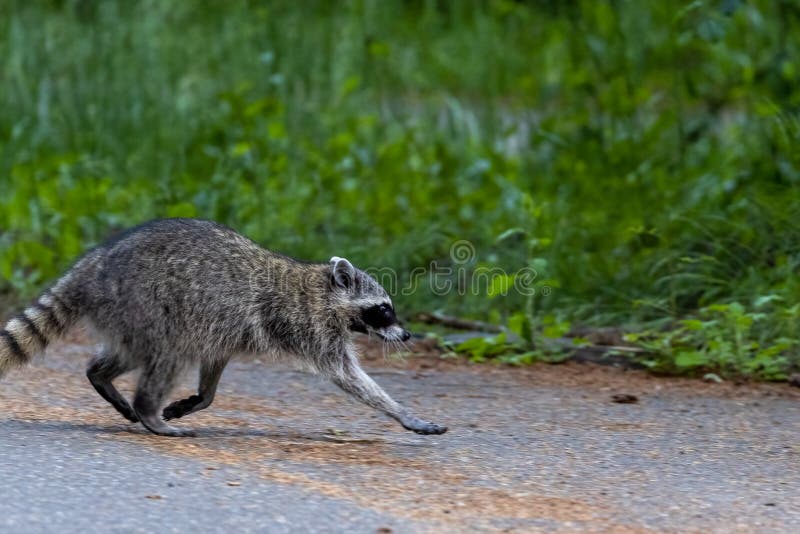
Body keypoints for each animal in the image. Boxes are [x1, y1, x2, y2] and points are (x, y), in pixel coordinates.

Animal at [0, 219, 447, 437]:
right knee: (169, 354)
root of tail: (93, 266)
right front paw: (402, 412)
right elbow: (348, 375)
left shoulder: (226, 332)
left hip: (129, 316)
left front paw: (199, 399)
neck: (324, 290)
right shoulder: (309, 326)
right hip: (147, 303)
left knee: (127, 354)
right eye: (384, 311)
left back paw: (102, 376)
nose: (407, 335)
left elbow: (215, 366)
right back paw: (148, 410)